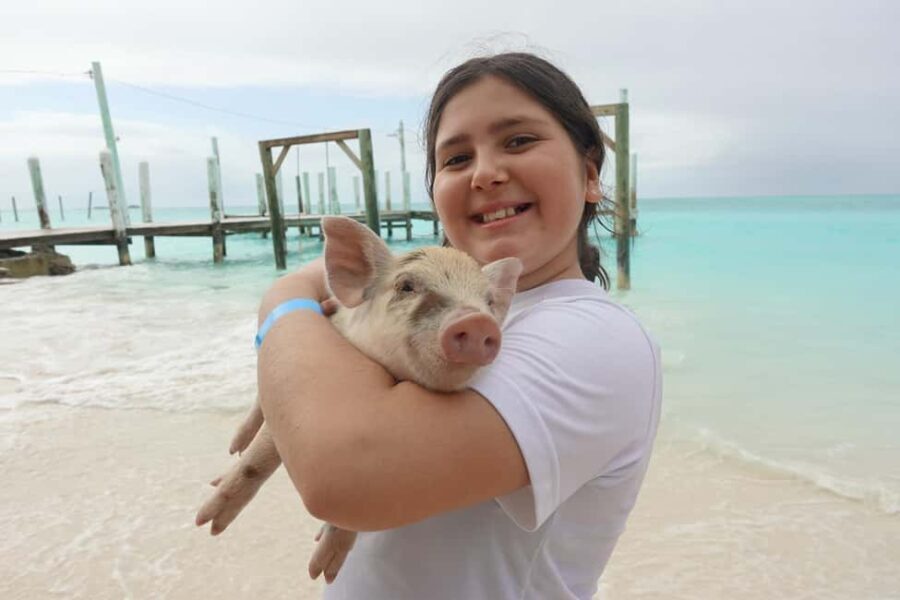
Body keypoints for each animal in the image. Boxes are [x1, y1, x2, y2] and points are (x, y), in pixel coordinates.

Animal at [196, 215, 522, 583]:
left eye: (489, 302)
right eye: (406, 286)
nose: (476, 320)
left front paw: (323, 571)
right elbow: (261, 455)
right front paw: (208, 523)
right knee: (257, 410)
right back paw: (232, 453)